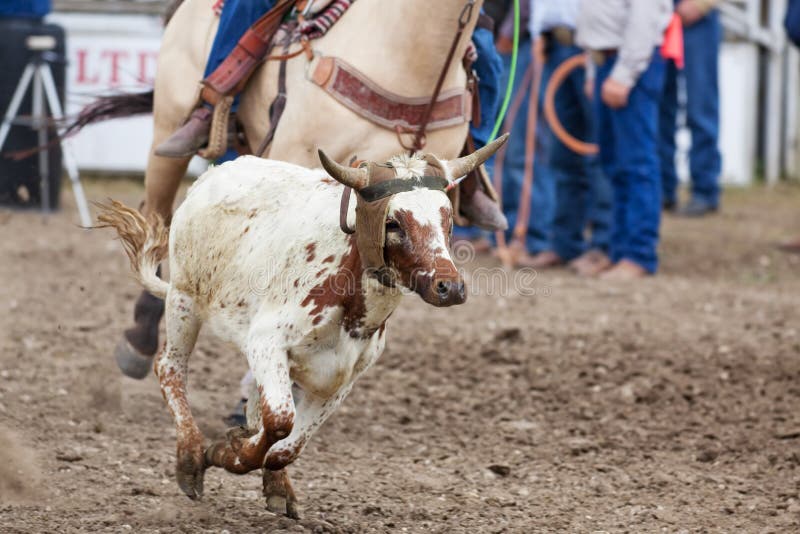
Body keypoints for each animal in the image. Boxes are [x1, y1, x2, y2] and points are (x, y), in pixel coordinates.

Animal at [96, 135, 507, 517]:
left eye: (448, 220)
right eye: (393, 223)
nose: (449, 287)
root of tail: (211, 175)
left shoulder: (342, 379)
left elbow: (287, 444)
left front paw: (269, 478)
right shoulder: (266, 343)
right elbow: (280, 421)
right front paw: (227, 452)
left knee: (253, 410)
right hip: (184, 300)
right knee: (170, 368)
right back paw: (190, 457)